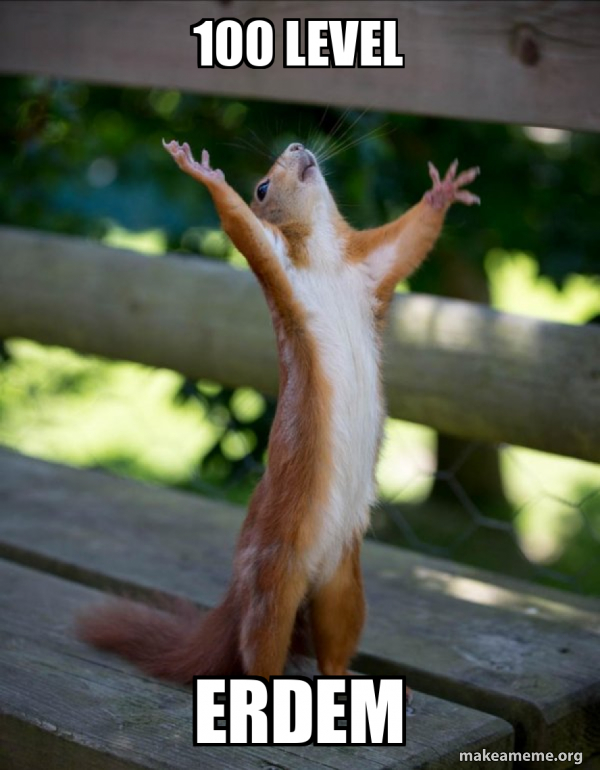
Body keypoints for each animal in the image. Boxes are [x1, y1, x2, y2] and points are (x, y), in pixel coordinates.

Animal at [77, 139, 479, 687]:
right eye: (262, 187)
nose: (296, 146)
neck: (327, 259)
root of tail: (239, 592)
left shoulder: (372, 267)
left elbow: (410, 240)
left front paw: (442, 193)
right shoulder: (278, 265)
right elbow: (241, 227)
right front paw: (204, 173)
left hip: (344, 583)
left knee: (335, 642)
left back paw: (347, 678)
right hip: (274, 580)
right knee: (259, 650)